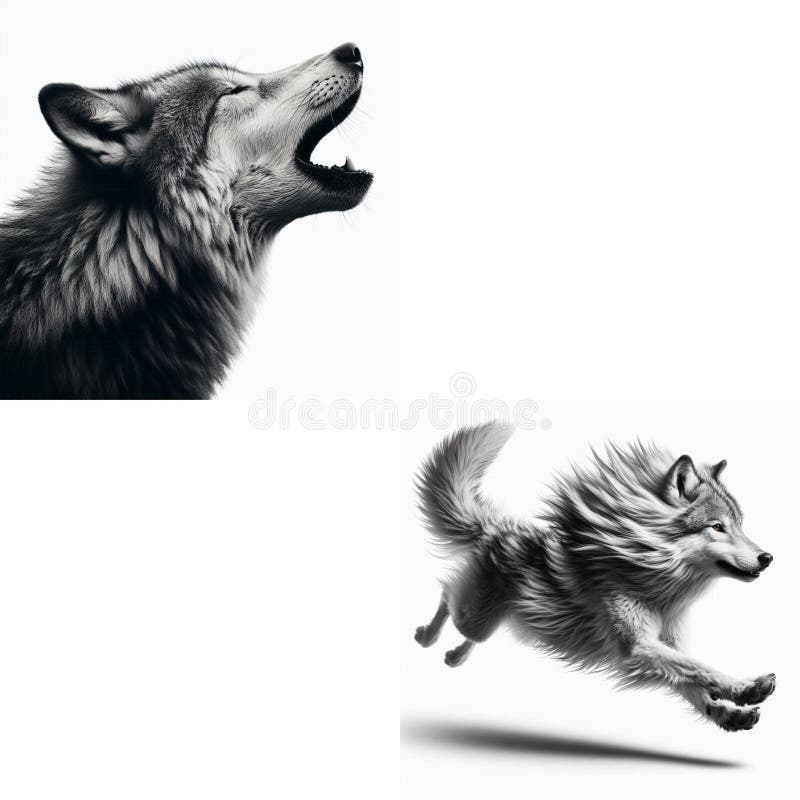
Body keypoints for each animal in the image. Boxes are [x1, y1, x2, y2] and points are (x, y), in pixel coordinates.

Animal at [414, 423, 776, 732]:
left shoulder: (660, 647)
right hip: (474, 616)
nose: (768, 558)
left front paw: (728, 714)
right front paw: (745, 689)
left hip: (489, 621)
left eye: (739, 525)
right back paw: (427, 637)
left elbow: (694, 684)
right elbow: (700, 669)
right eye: (717, 527)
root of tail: (494, 527)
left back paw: (454, 656)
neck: (655, 585)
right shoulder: (637, 646)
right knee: (447, 595)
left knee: (466, 626)